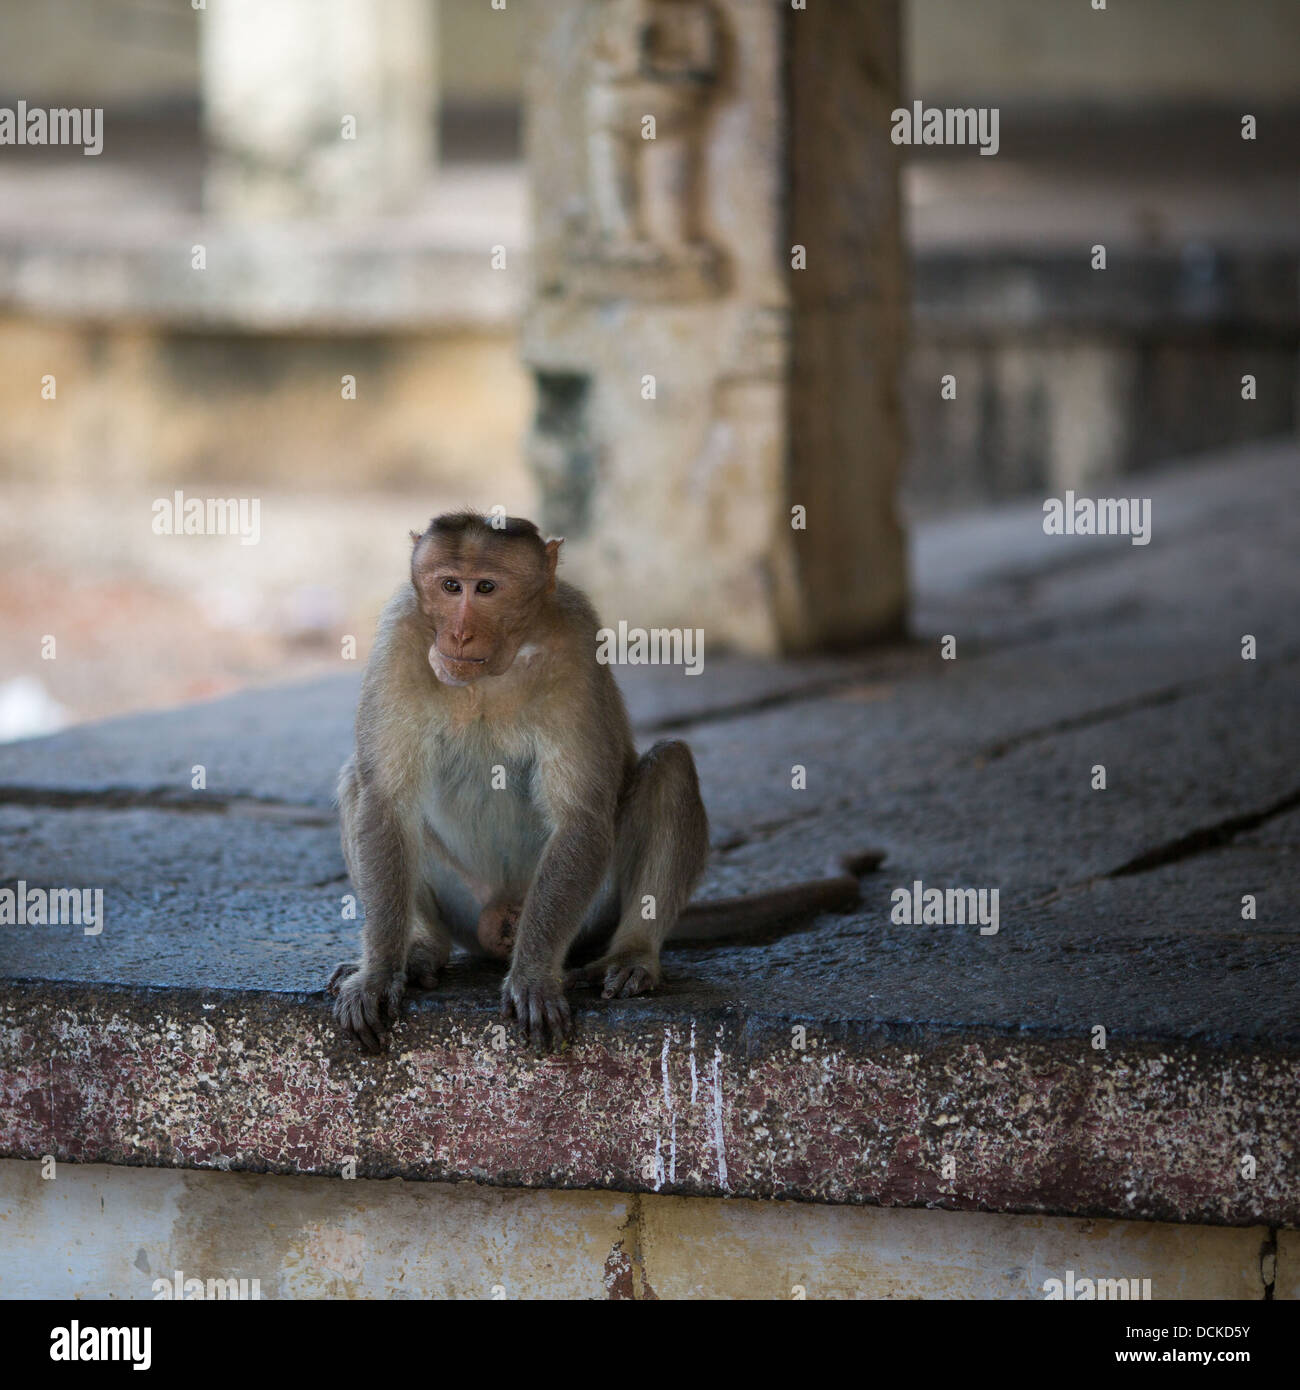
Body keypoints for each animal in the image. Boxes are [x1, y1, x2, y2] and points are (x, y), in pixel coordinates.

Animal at [328, 511, 882, 1053]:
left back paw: (632, 955)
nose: (458, 635)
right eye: (448, 586)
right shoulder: (401, 634)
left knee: (670, 768)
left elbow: (581, 817)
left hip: (594, 912)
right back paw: (422, 948)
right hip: (464, 903)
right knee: (361, 783)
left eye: (485, 588)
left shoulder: (576, 640)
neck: (492, 672)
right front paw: (378, 974)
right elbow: (384, 802)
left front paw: (533, 976)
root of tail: (500, 916)